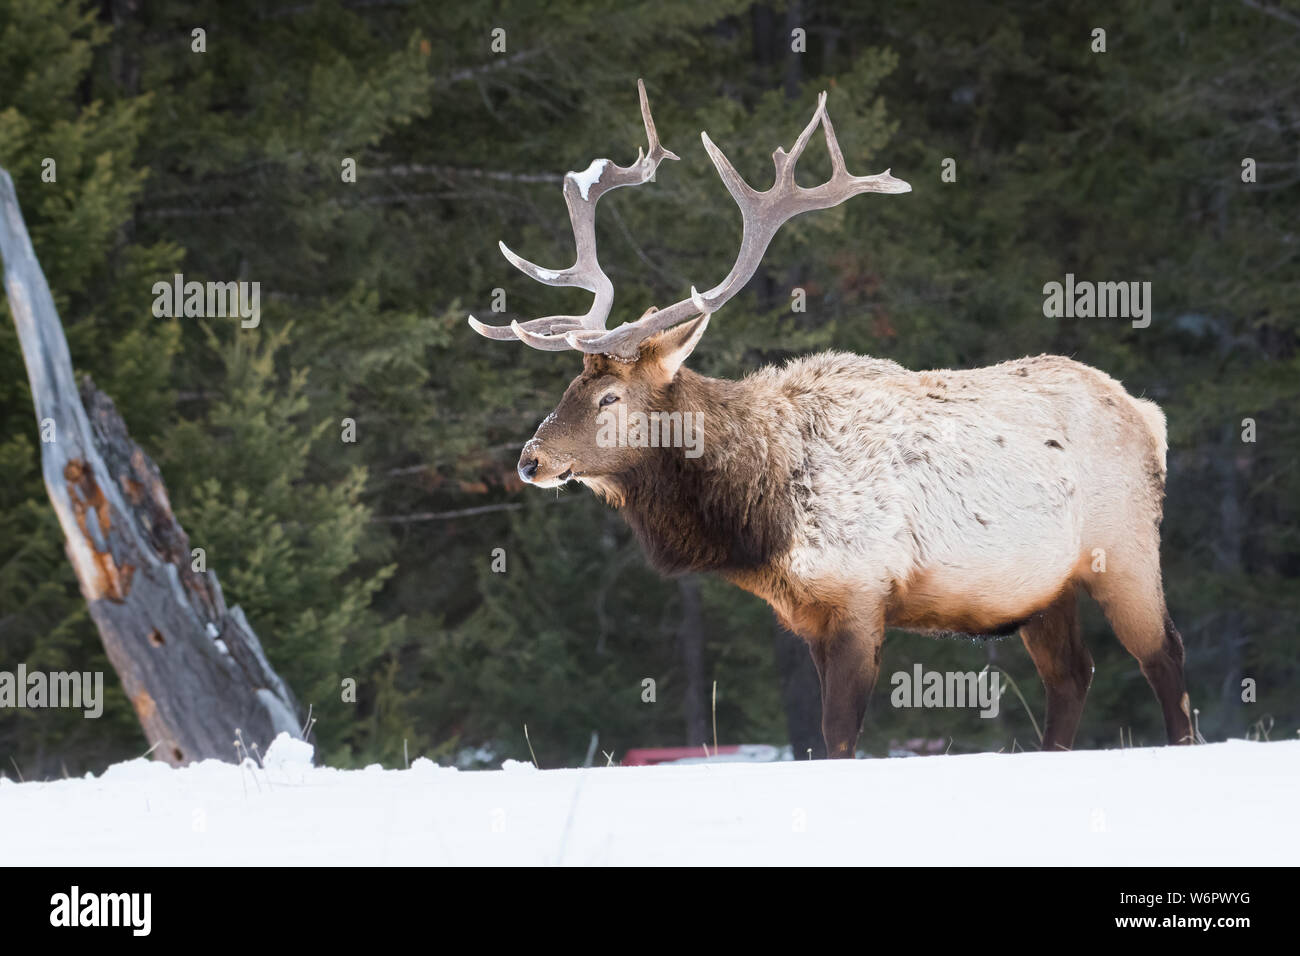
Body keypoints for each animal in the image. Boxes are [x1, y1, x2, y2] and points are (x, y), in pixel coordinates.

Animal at [468, 81, 1193, 757]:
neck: (764, 516)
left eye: (610, 397)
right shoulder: (810, 614)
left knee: (1165, 658)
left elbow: (839, 736)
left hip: (1125, 548)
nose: (530, 460)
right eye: (571, 385)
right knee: (1072, 675)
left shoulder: (861, 592)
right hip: (1042, 587)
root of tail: (1149, 416)